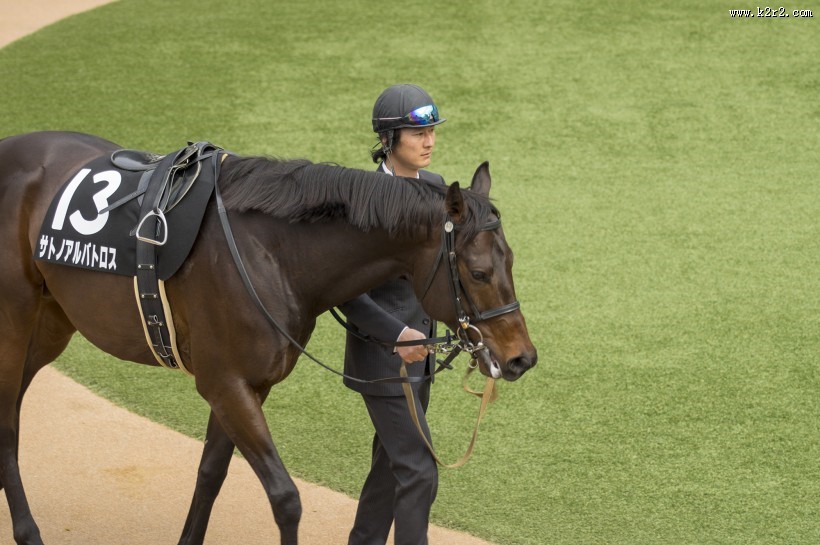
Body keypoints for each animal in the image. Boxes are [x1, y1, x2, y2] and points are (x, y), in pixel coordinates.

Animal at [0, 131, 537, 545]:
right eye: (479, 272)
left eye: (511, 261)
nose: (521, 358)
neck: (274, 253)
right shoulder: (224, 383)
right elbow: (286, 497)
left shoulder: (246, 385)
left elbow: (210, 475)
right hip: (13, 323)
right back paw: (28, 532)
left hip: (51, 324)